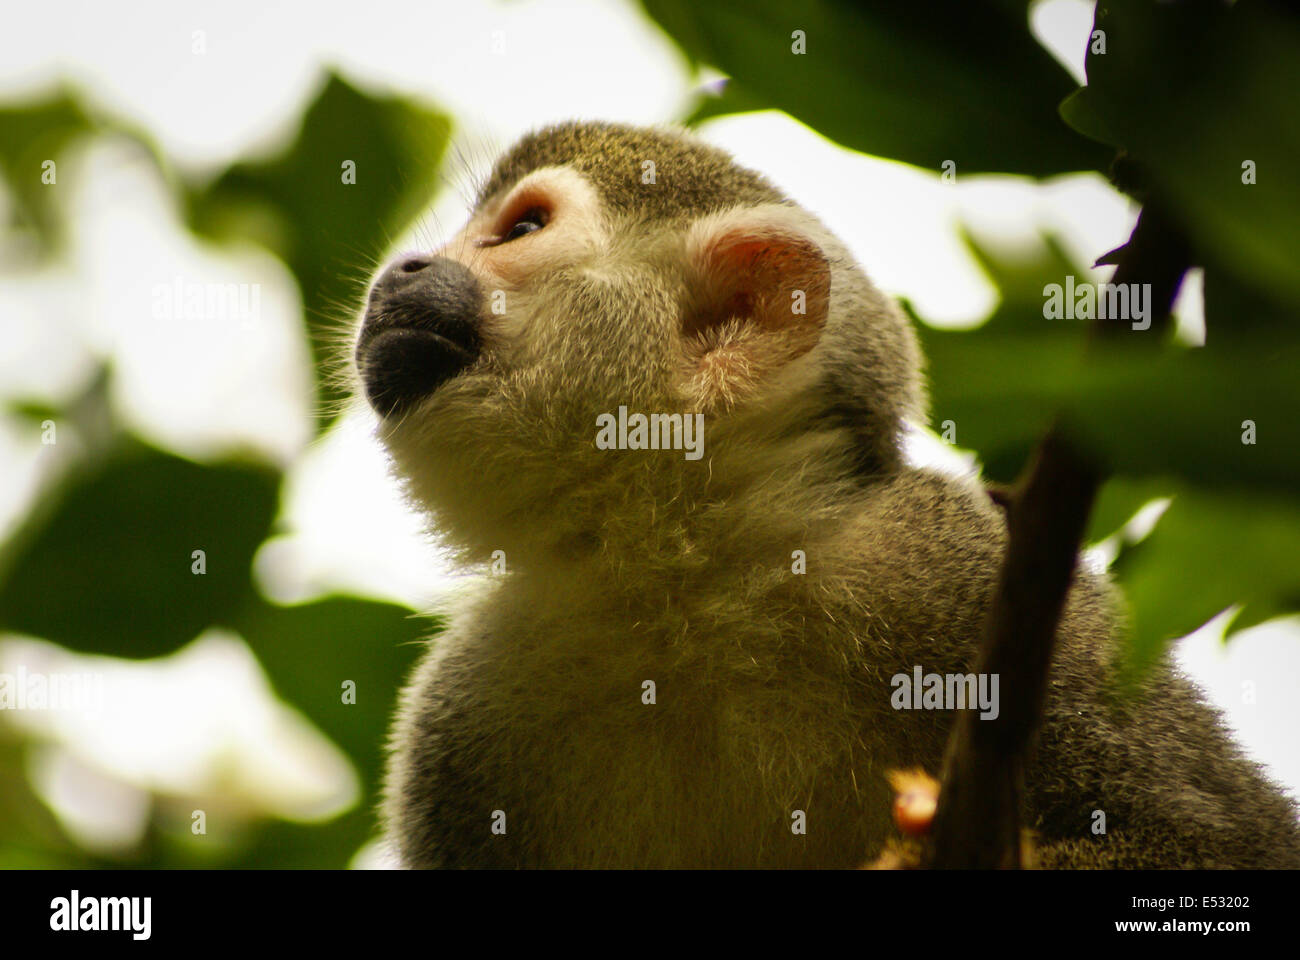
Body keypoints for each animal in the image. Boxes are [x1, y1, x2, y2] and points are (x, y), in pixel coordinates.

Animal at [354, 120, 1300, 868]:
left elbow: (1217, 840)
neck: (683, 588)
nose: (404, 266)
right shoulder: (461, 719)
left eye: (521, 228)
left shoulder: (958, 565)